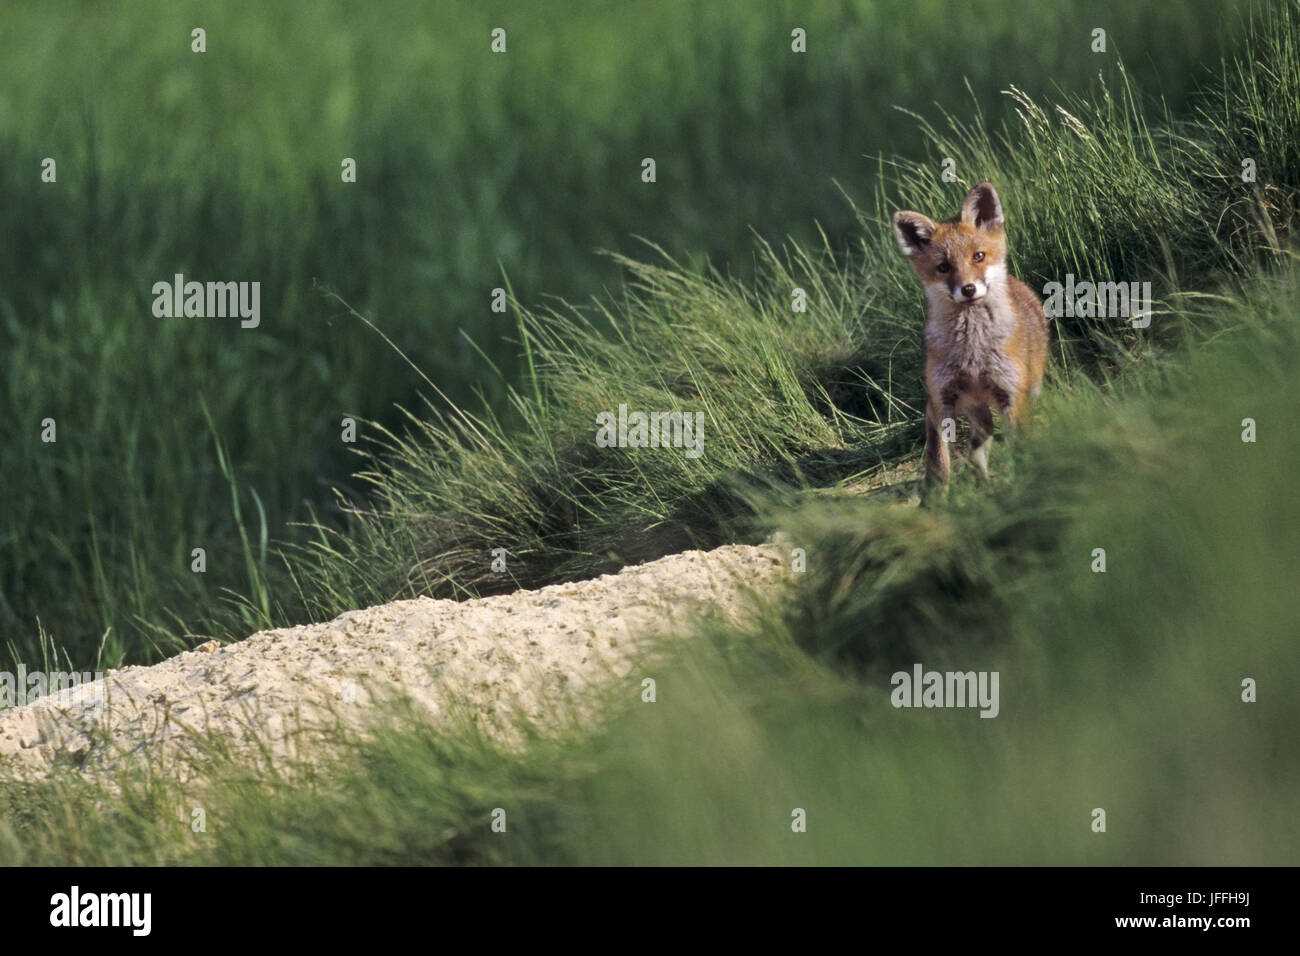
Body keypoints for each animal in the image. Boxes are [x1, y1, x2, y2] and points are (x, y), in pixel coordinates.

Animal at [891, 181, 1049, 488]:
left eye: (978, 256)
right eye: (943, 267)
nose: (968, 289)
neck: (973, 353)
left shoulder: (1012, 395)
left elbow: (1020, 447)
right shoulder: (939, 401)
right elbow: (938, 462)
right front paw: (935, 497)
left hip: (1028, 389)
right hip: (974, 405)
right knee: (983, 431)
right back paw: (979, 477)